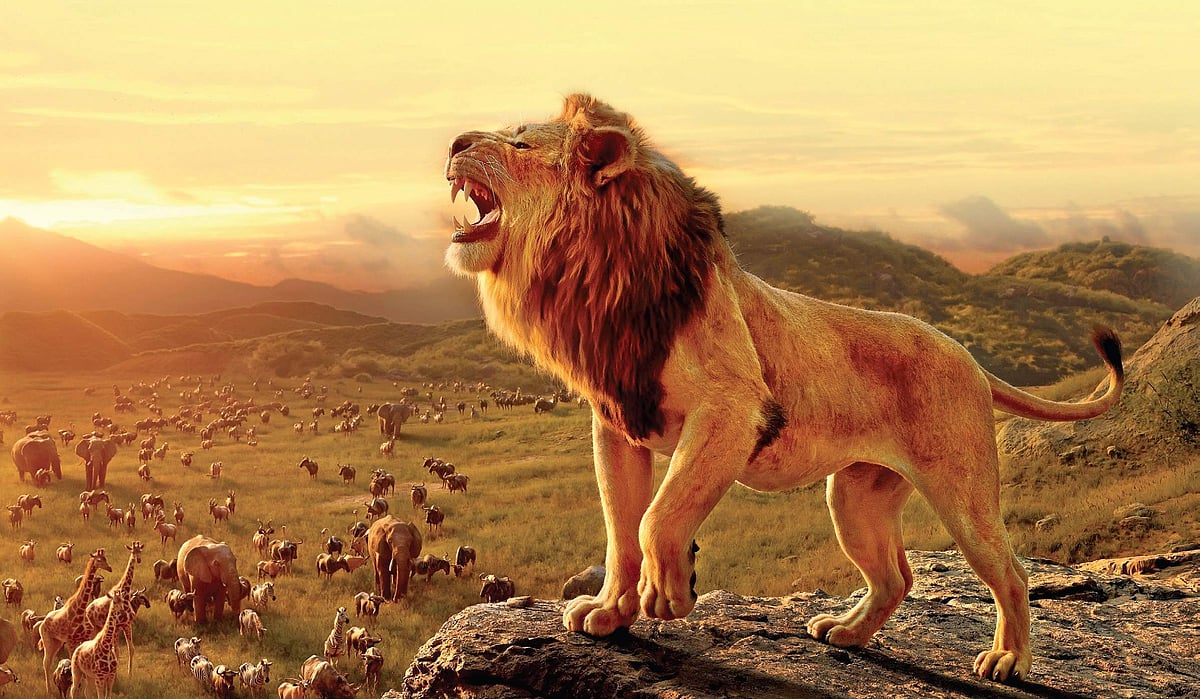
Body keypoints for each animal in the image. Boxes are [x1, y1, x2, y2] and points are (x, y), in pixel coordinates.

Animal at [442, 94, 1123, 683]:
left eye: (518, 141)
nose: (454, 142)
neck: (598, 277)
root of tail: (970, 358)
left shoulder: (734, 408)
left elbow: (657, 517)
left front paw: (669, 593)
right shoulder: (617, 424)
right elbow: (620, 530)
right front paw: (609, 614)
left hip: (962, 492)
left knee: (1009, 570)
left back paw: (1007, 659)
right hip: (856, 499)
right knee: (896, 577)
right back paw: (846, 634)